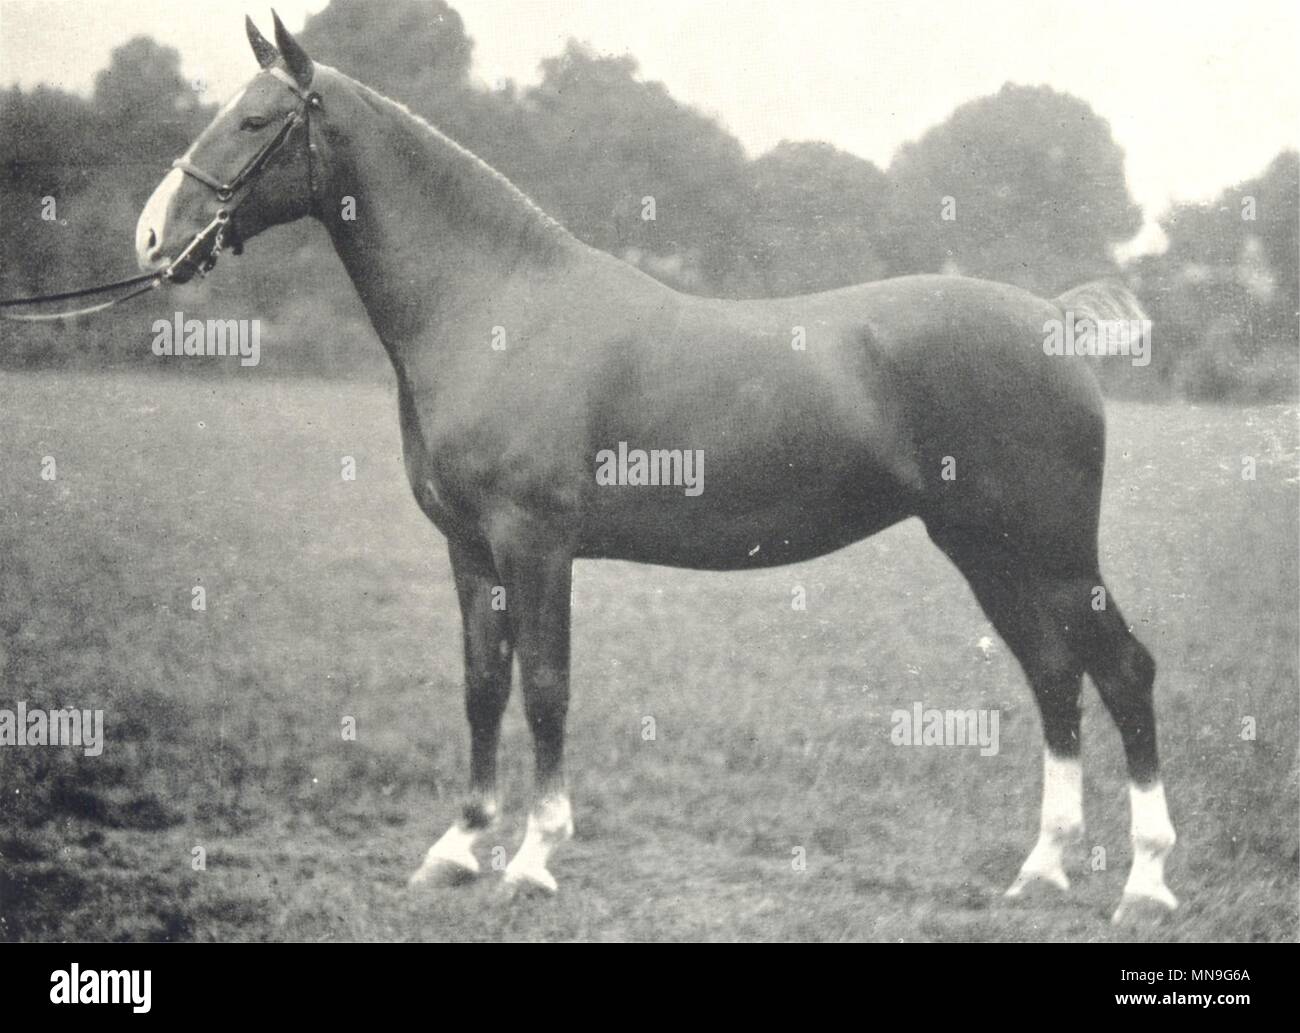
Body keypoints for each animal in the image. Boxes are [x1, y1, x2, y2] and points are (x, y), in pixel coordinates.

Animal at [135, 13, 1178, 923]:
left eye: (256, 121)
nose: (150, 236)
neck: (497, 309)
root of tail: (1051, 318)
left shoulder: (537, 544)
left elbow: (546, 687)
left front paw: (533, 858)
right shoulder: (471, 550)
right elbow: (482, 685)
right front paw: (458, 848)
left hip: (1052, 552)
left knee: (1122, 670)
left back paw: (1145, 885)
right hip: (983, 546)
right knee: (1053, 674)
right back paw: (1042, 869)